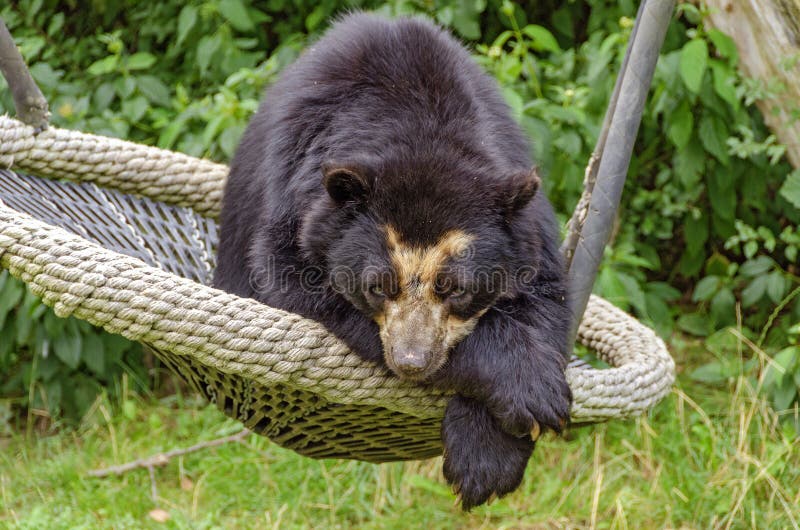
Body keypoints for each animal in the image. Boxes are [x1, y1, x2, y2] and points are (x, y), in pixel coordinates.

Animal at [213, 12, 572, 510]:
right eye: (378, 286)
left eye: (456, 289)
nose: (411, 362)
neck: (420, 127)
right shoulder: (293, 199)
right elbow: (294, 281)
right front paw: (529, 396)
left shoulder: (527, 218)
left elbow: (544, 297)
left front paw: (489, 459)